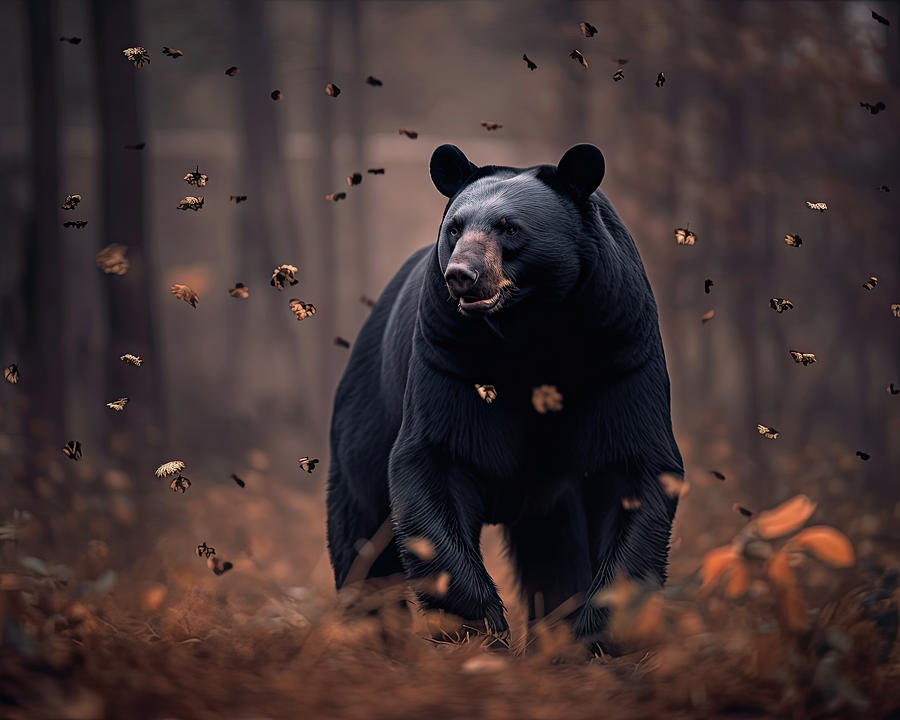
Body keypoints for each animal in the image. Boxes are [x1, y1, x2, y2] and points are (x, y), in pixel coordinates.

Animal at [326, 143, 683, 647]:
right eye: (455, 227)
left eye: (511, 228)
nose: (461, 275)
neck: (529, 330)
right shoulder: (448, 355)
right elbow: (432, 461)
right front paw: (481, 629)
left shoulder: (620, 349)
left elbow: (636, 468)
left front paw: (598, 631)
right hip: (368, 412)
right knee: (363, 535)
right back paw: (370, 637)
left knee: (556, 552)